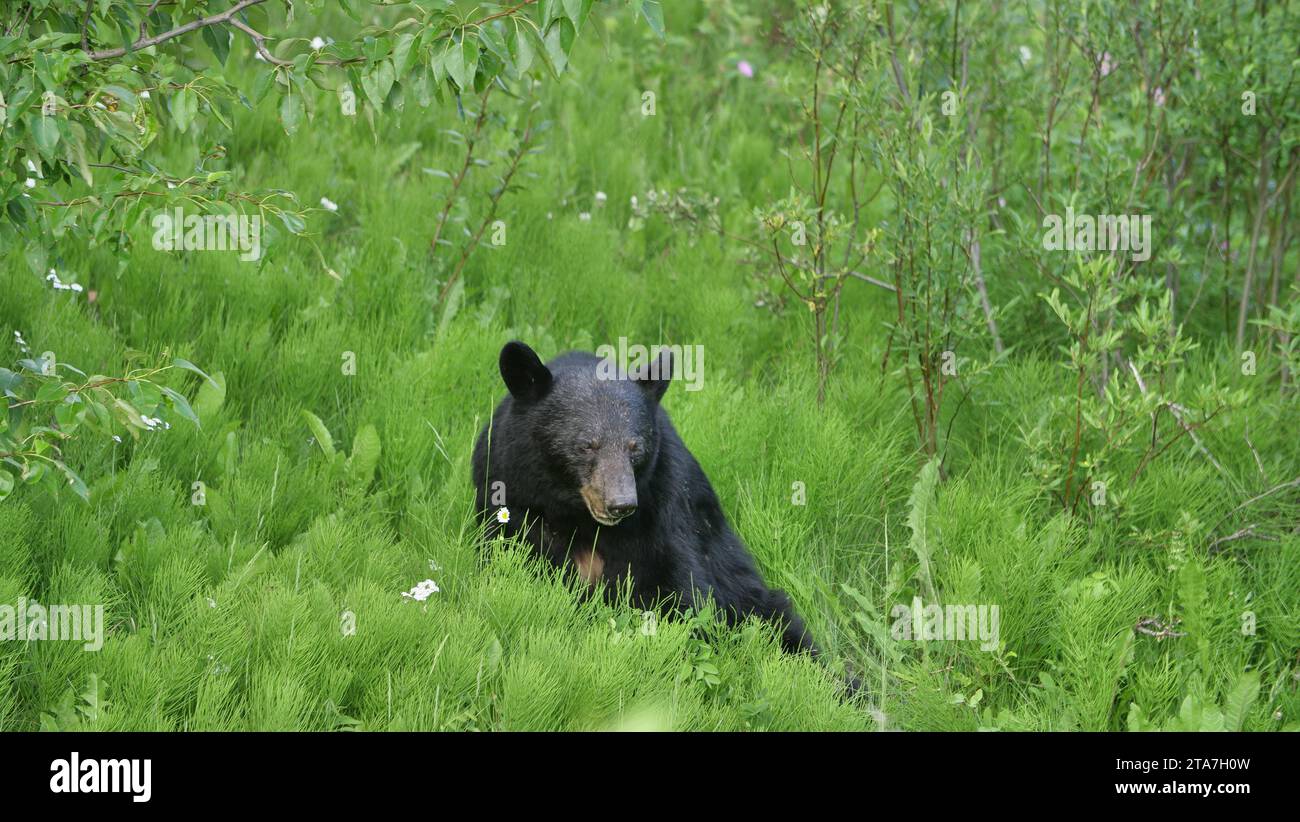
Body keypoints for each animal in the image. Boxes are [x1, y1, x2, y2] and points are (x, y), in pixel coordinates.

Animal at [471, 340, 818, 656]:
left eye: (634, 446)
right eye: (586, 444)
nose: (621, 503)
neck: (579, 517)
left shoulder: (665, 509)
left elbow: (680, 589)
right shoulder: (511, 497)